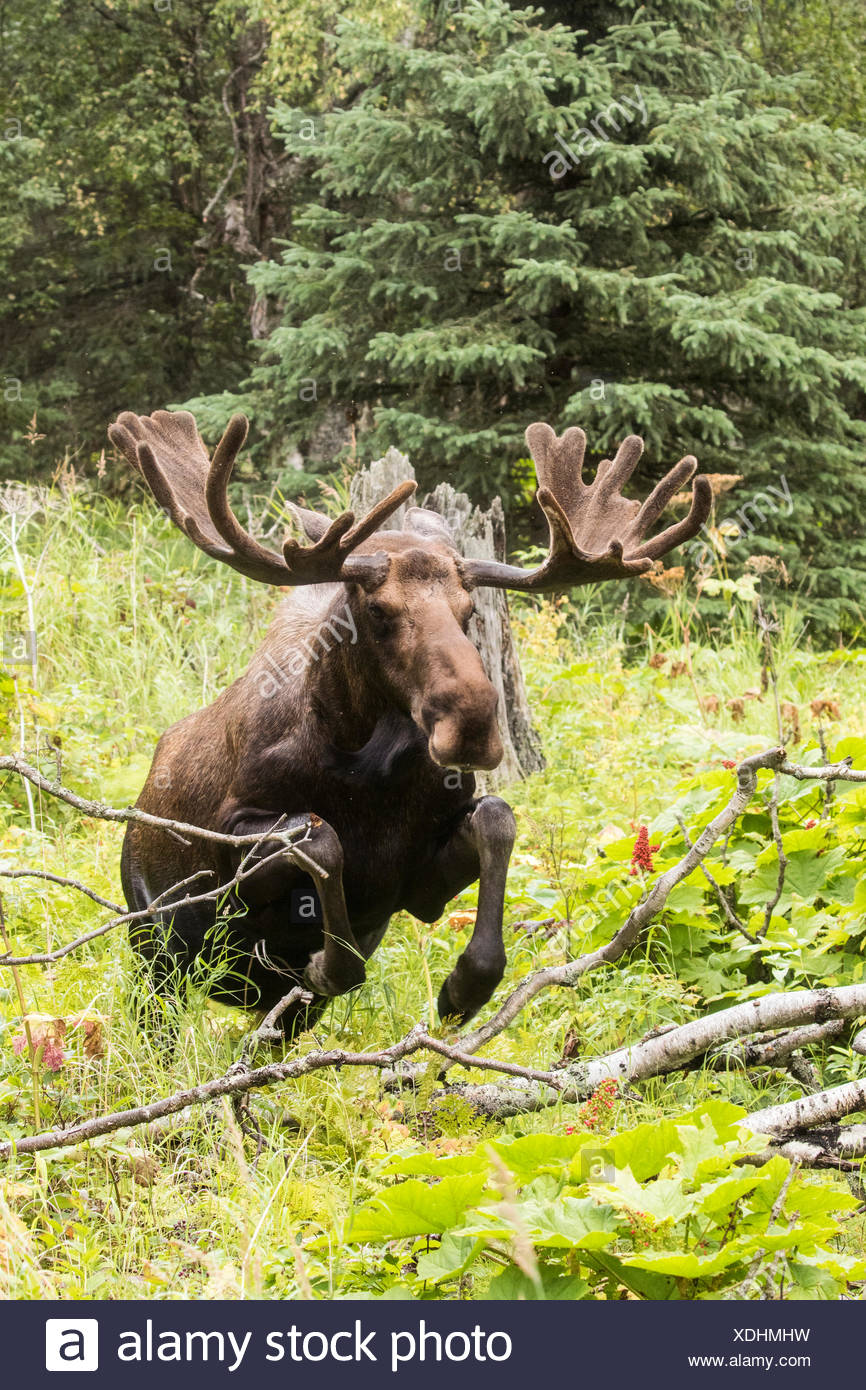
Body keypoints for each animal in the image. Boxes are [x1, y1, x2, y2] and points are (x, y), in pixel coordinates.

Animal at [108, 409, 711, 1038]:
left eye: (469, 611)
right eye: (377, 609)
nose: (471, 724)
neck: (368, 769)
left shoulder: (416, 886)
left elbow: (497, 817)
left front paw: (464, 987)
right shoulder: (233, 844)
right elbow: (321, 839)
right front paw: (329, 961)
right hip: (154, 950)